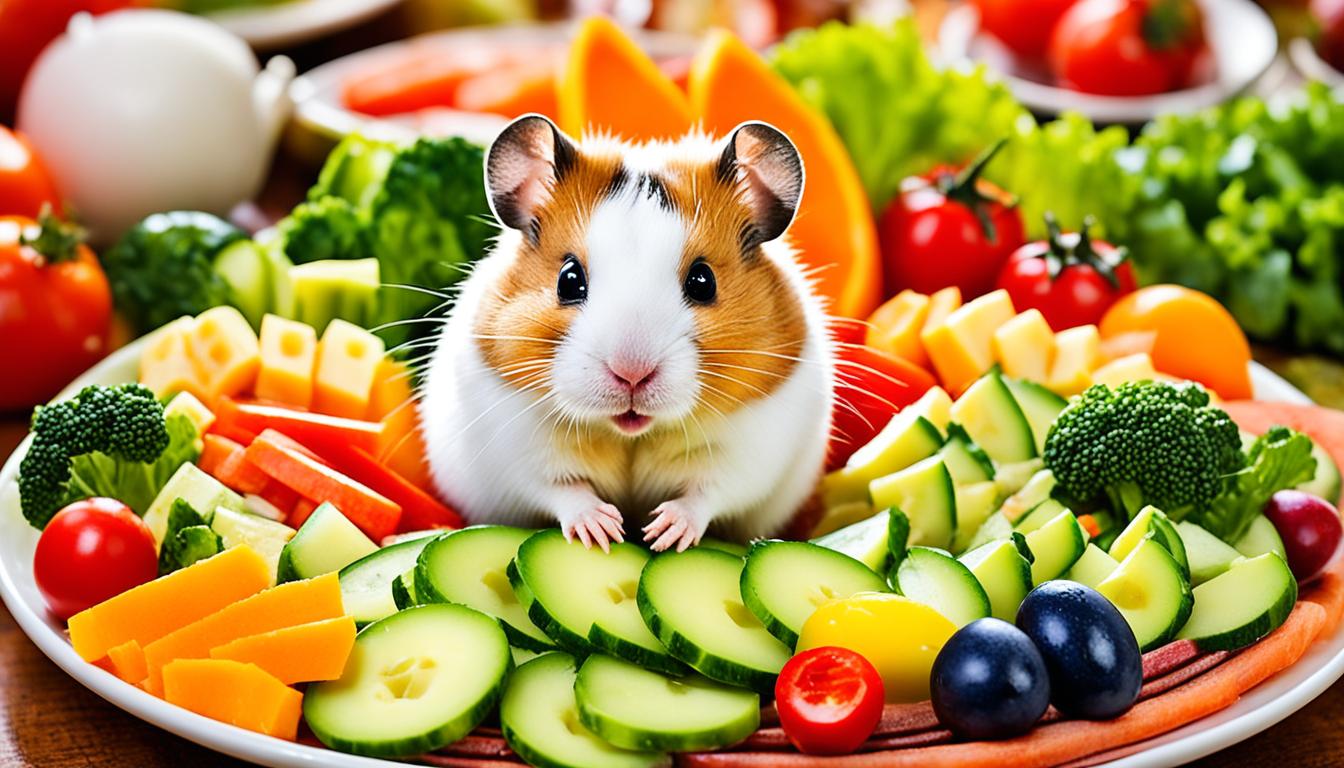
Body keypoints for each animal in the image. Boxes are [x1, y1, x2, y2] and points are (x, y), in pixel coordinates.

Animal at [420, 114, 835, 552]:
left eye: (703, 282)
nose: (631, 374)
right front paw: (603, 532)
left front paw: (664, 533)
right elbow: (562, 489)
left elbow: (706, 494)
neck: (630, 432)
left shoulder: (745, 456)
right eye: (569, 280)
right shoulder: (520, 452)